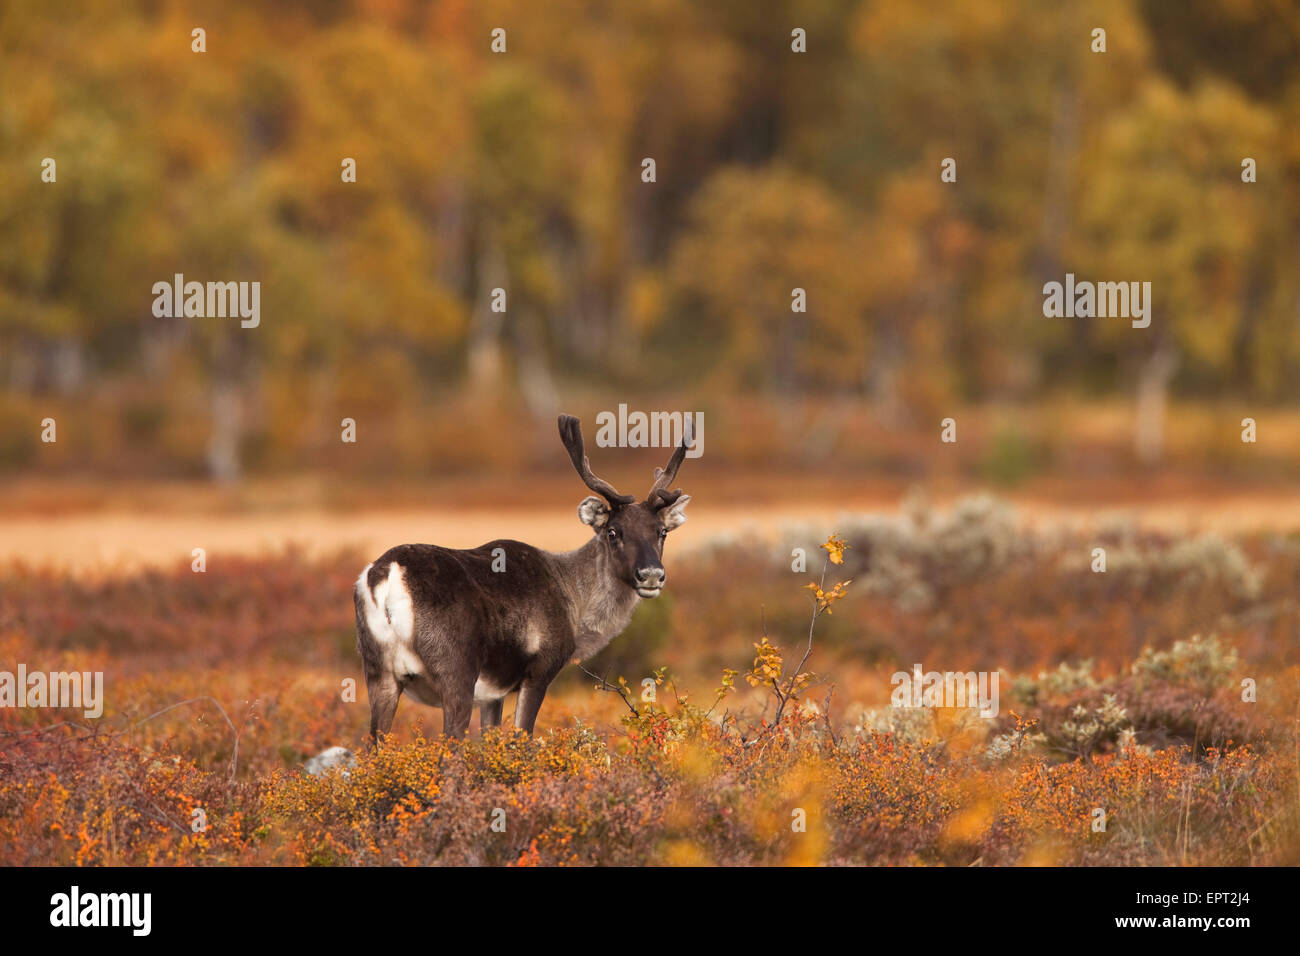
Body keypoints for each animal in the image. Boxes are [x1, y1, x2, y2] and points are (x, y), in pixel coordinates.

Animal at [353, 414, 692, 744]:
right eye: (613, 531)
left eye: (662, 532)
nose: (651, 575)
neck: (574, 605)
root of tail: (388, 575)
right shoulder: (539, 671)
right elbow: (523, 740)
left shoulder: (493, 692)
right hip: (455, 671)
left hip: (378, 674)